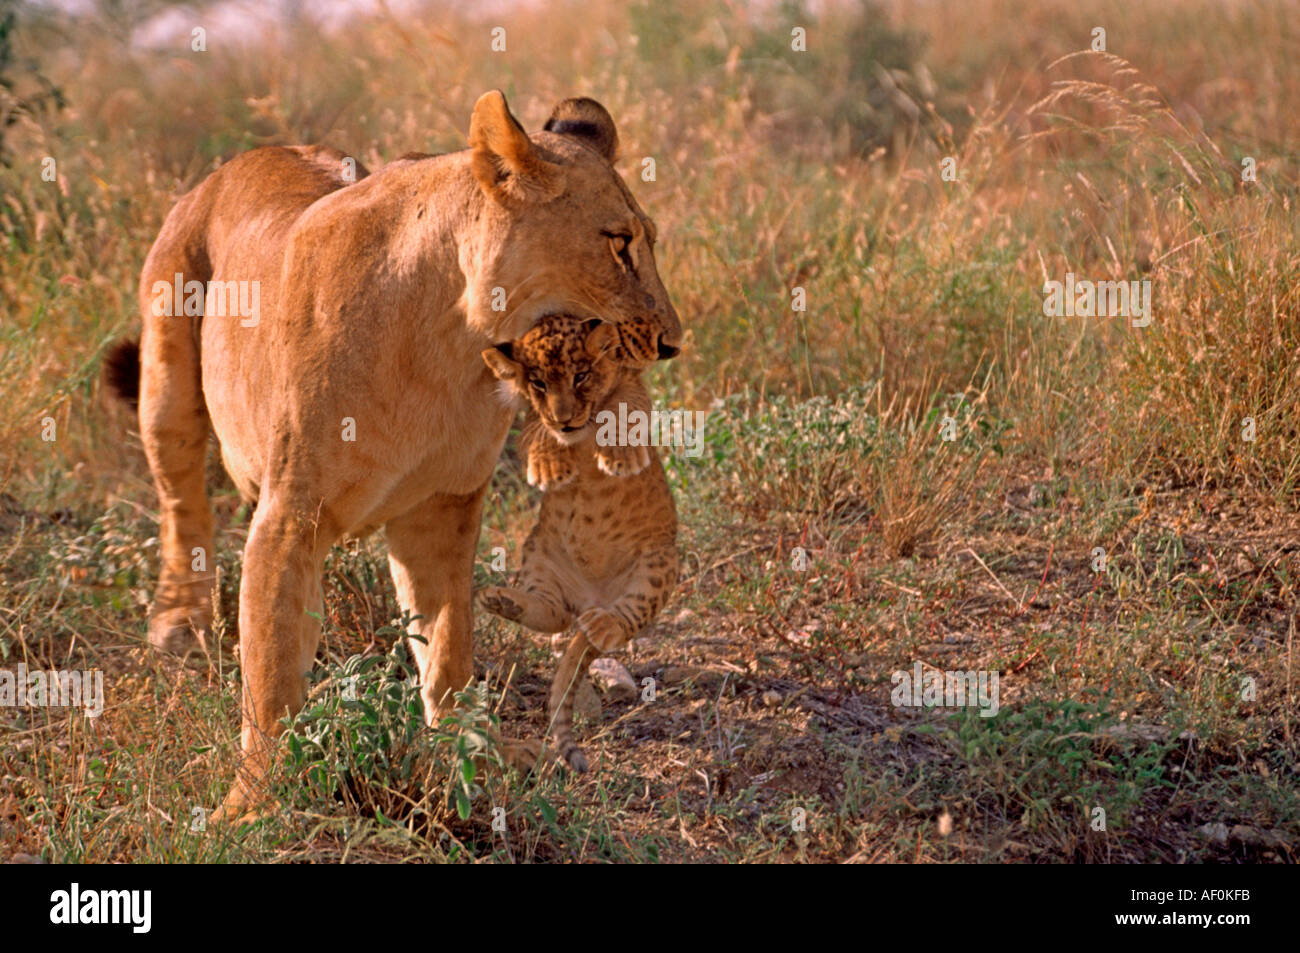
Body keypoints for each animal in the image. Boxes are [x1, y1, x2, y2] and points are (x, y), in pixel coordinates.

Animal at [104, 91, 682, 821]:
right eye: (618, 242)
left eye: (649, 238)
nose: (672, 342)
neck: (452, 342)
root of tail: (242, 159)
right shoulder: (290, 512)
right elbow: (270, 669)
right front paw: (253, 801)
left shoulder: (445, 505)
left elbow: (449, 641)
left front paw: (473, 752)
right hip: (166, 384)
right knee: (182, 502)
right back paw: (180, 621)